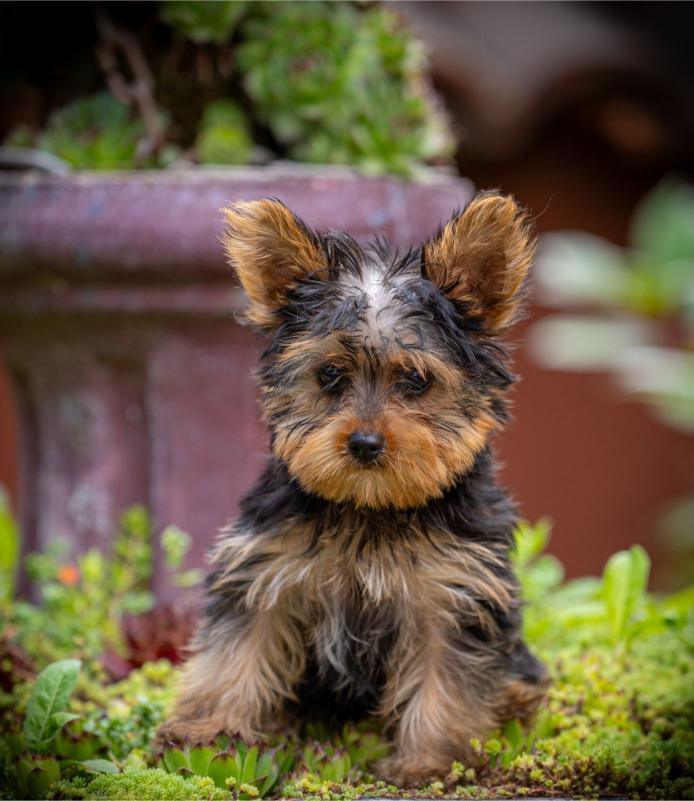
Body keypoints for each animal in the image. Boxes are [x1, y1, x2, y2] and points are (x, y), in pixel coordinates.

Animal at [162, 192, 548, 780]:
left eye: (416, 379)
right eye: (328, 376)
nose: (365, 442)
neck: (370, 507)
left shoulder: (455, 593)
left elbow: (446, 677)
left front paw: (428, 760)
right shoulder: (264, 569)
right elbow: (238, 649)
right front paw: (208, 729)